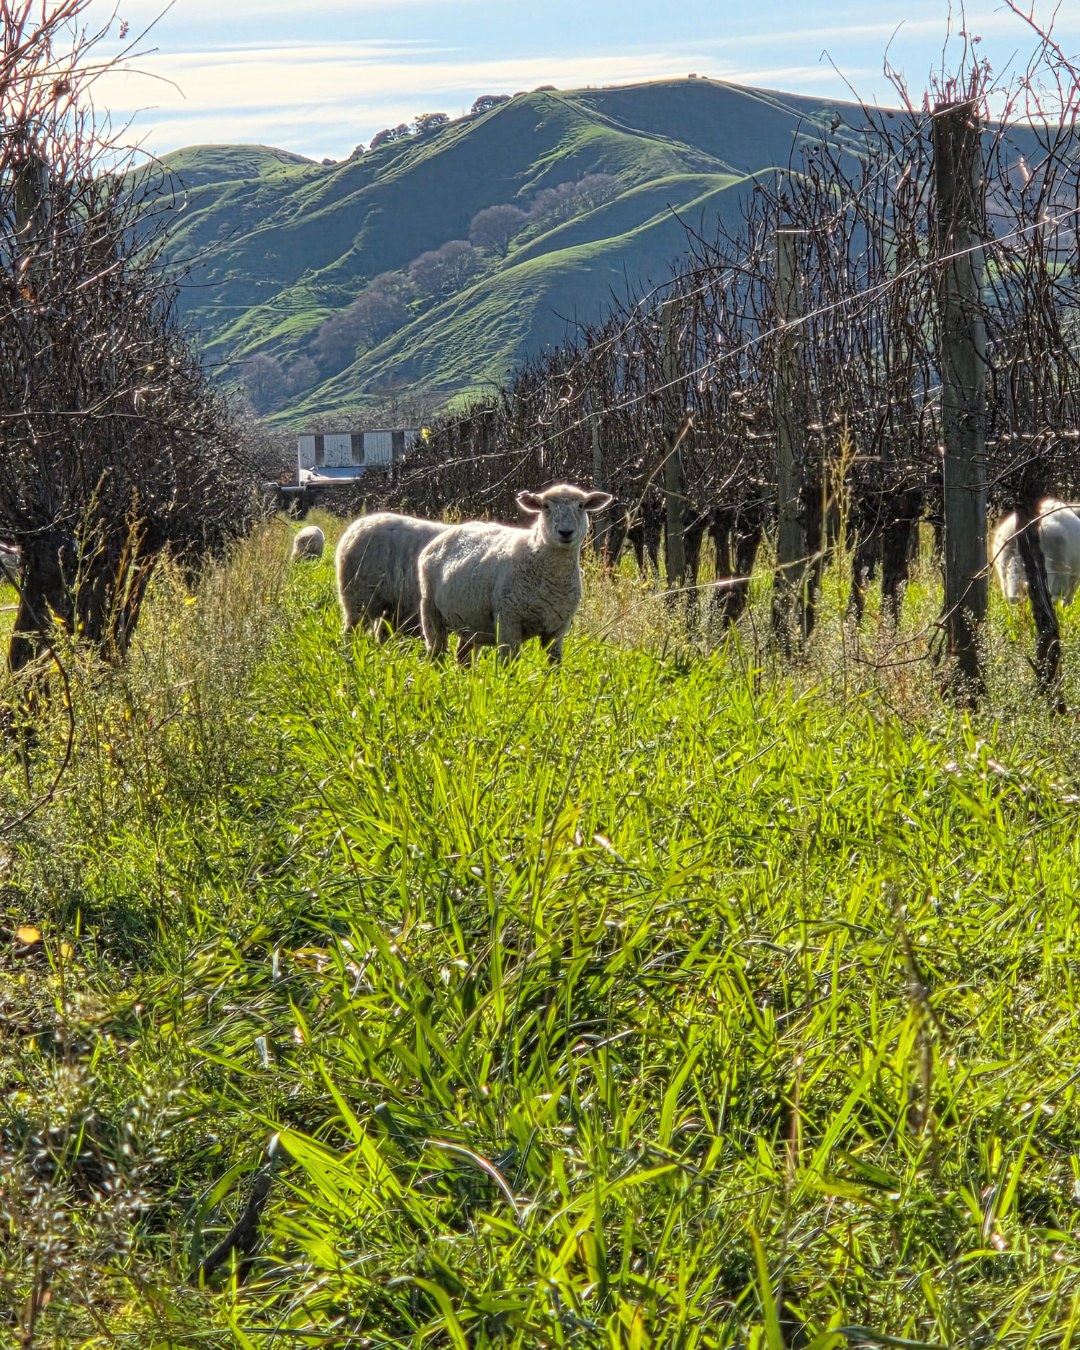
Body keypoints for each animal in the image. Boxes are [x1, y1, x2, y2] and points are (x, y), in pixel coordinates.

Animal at [418, 483, 613, 664]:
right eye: (545, 506)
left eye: (581, 505)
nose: (566, 532)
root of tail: (445, 534)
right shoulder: (508, 622)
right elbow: (509, 664)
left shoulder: (557, 628)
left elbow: (554, 666)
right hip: (431, 610)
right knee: (436, 653)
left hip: (471, 622)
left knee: (463, 657)